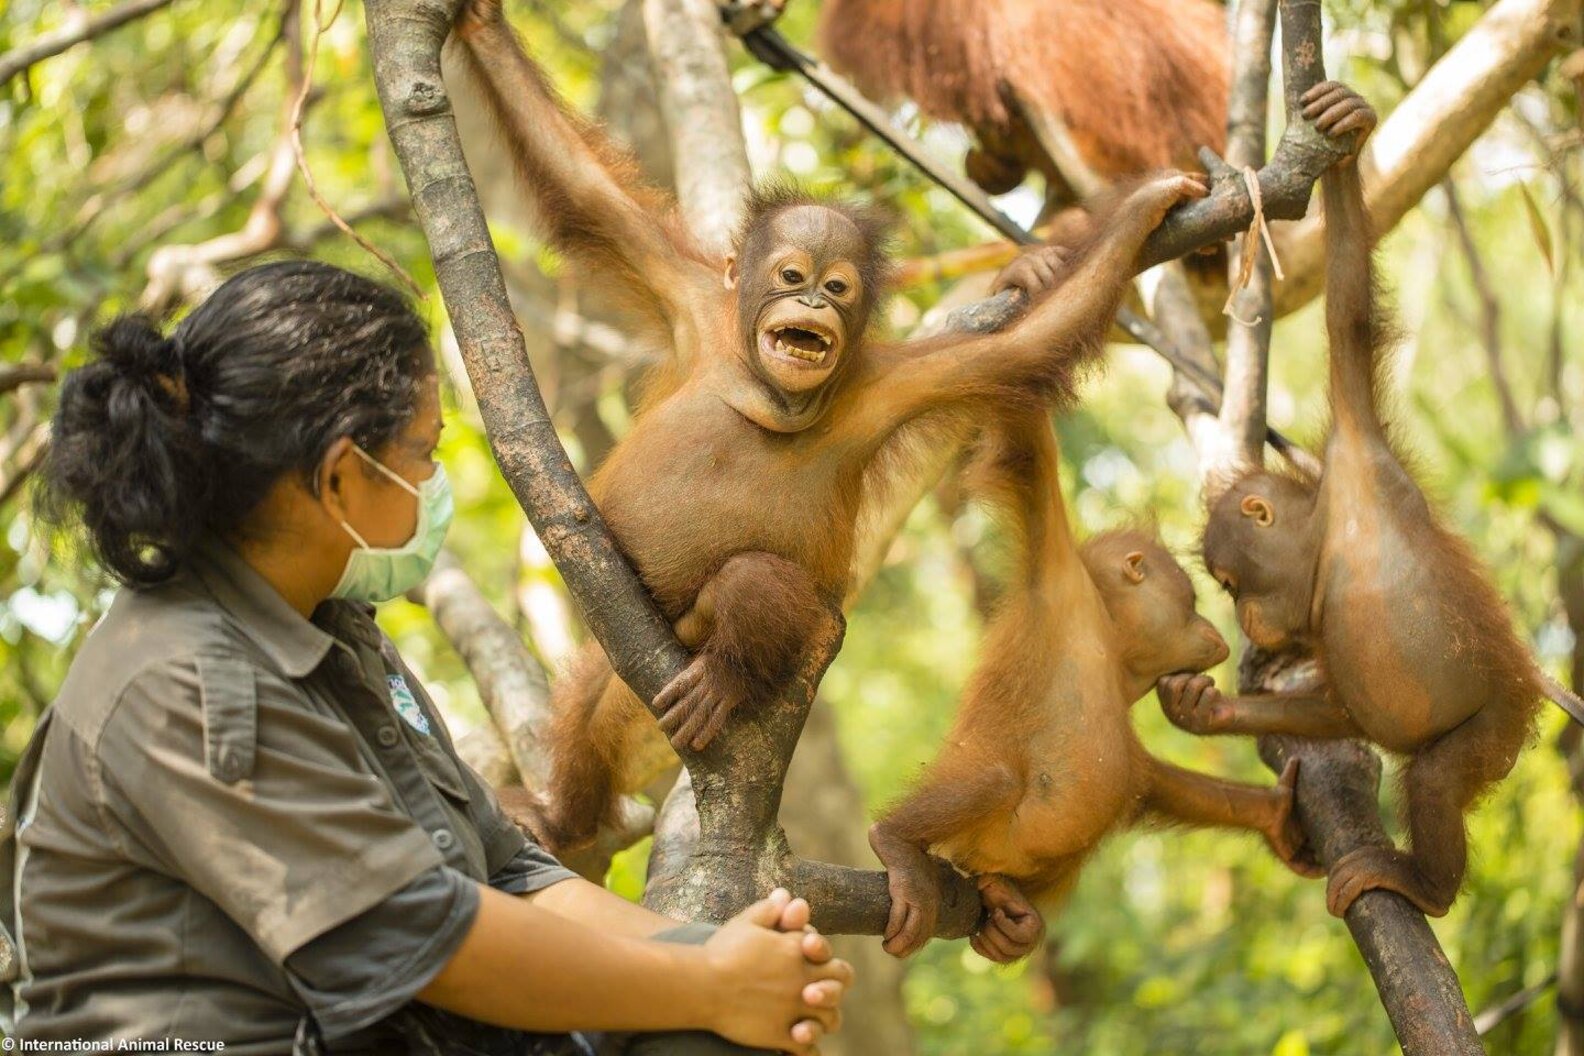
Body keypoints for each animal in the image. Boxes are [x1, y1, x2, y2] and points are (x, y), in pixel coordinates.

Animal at [866, 339, 1315, 961]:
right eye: (1192, 602)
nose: (1216, 634)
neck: (1108, 642)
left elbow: (1147, 780)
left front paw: (1271, 810)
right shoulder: (1057, 570)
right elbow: (1026, 446)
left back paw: (1016, 918)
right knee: (996, 778)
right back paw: (898, 844)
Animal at [1157, 81, 1545, 919]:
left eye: (1230, 584)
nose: (1241, 615)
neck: (1332, 541)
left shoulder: (1360, 451)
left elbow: (1347, 313)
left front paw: (1343, 131)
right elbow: (1338, 706)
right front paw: (1206, 709)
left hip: (1495, 718)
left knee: (1437, 775)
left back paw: (1423, 886)